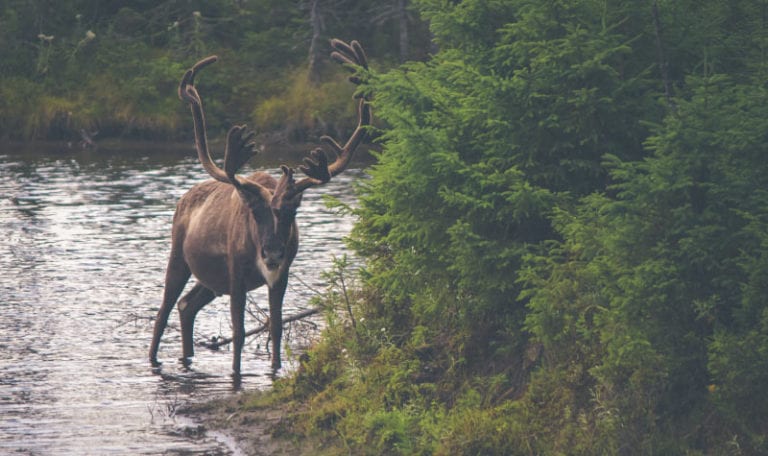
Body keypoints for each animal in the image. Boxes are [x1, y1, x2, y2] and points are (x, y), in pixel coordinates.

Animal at [149, 39, 371, 374]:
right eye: (254, 212)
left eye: (292, 212)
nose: (272, 253)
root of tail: (184, 199)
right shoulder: (236, 273)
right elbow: (239, 332)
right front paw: (236, 373)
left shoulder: (282, 274)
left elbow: (276, 327)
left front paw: (276, 370)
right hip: (179, 257)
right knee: (163, 312)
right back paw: (154, 358)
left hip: (211, 280)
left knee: (186, 306)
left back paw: (187, 356)